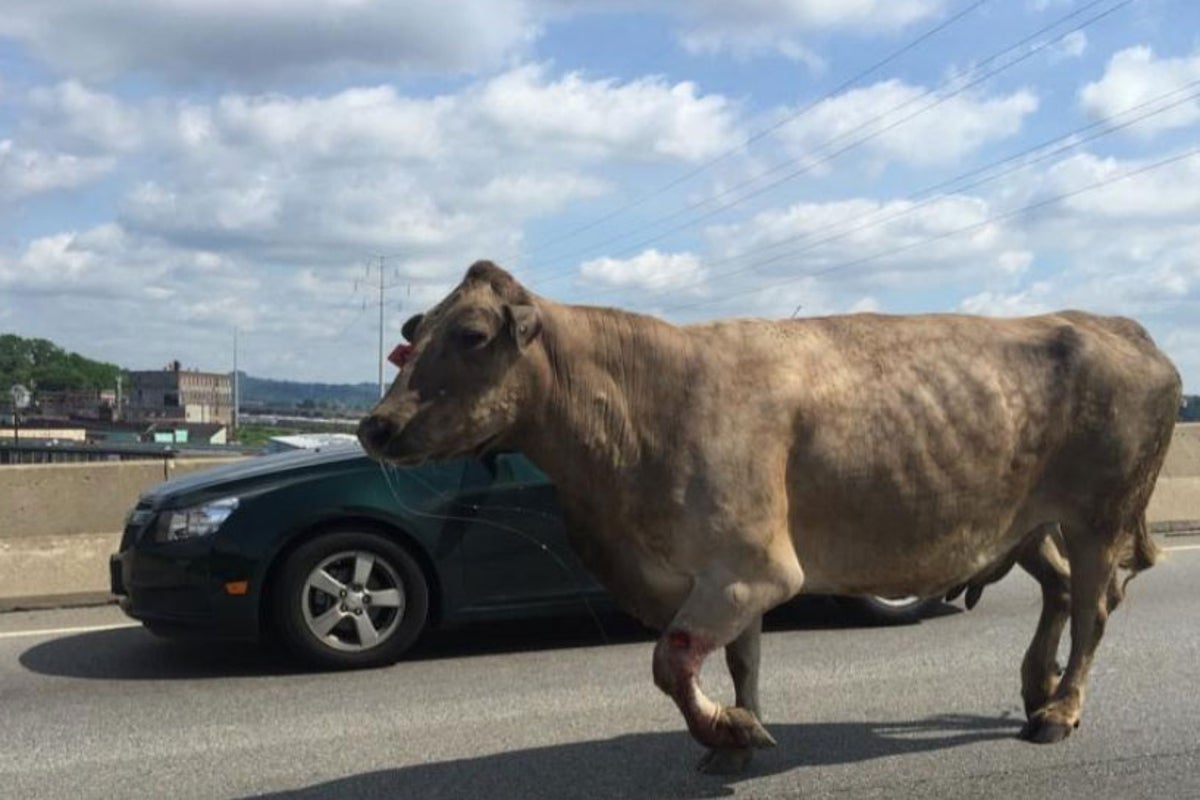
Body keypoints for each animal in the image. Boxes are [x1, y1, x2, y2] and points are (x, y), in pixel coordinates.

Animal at [357, 260, 1181, 774]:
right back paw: (1037, 687)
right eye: (414, 337)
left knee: (1093, 607)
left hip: (1102, 515)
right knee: (1059, 589)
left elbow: (669, 660)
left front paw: (733, 726)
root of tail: (1118, 325)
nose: (376, 426)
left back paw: (1060, 710)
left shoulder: (750, 568)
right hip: (1028, 523)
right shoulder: (722, 573)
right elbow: (735, 660)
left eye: (470, 336)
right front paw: (734, 737)